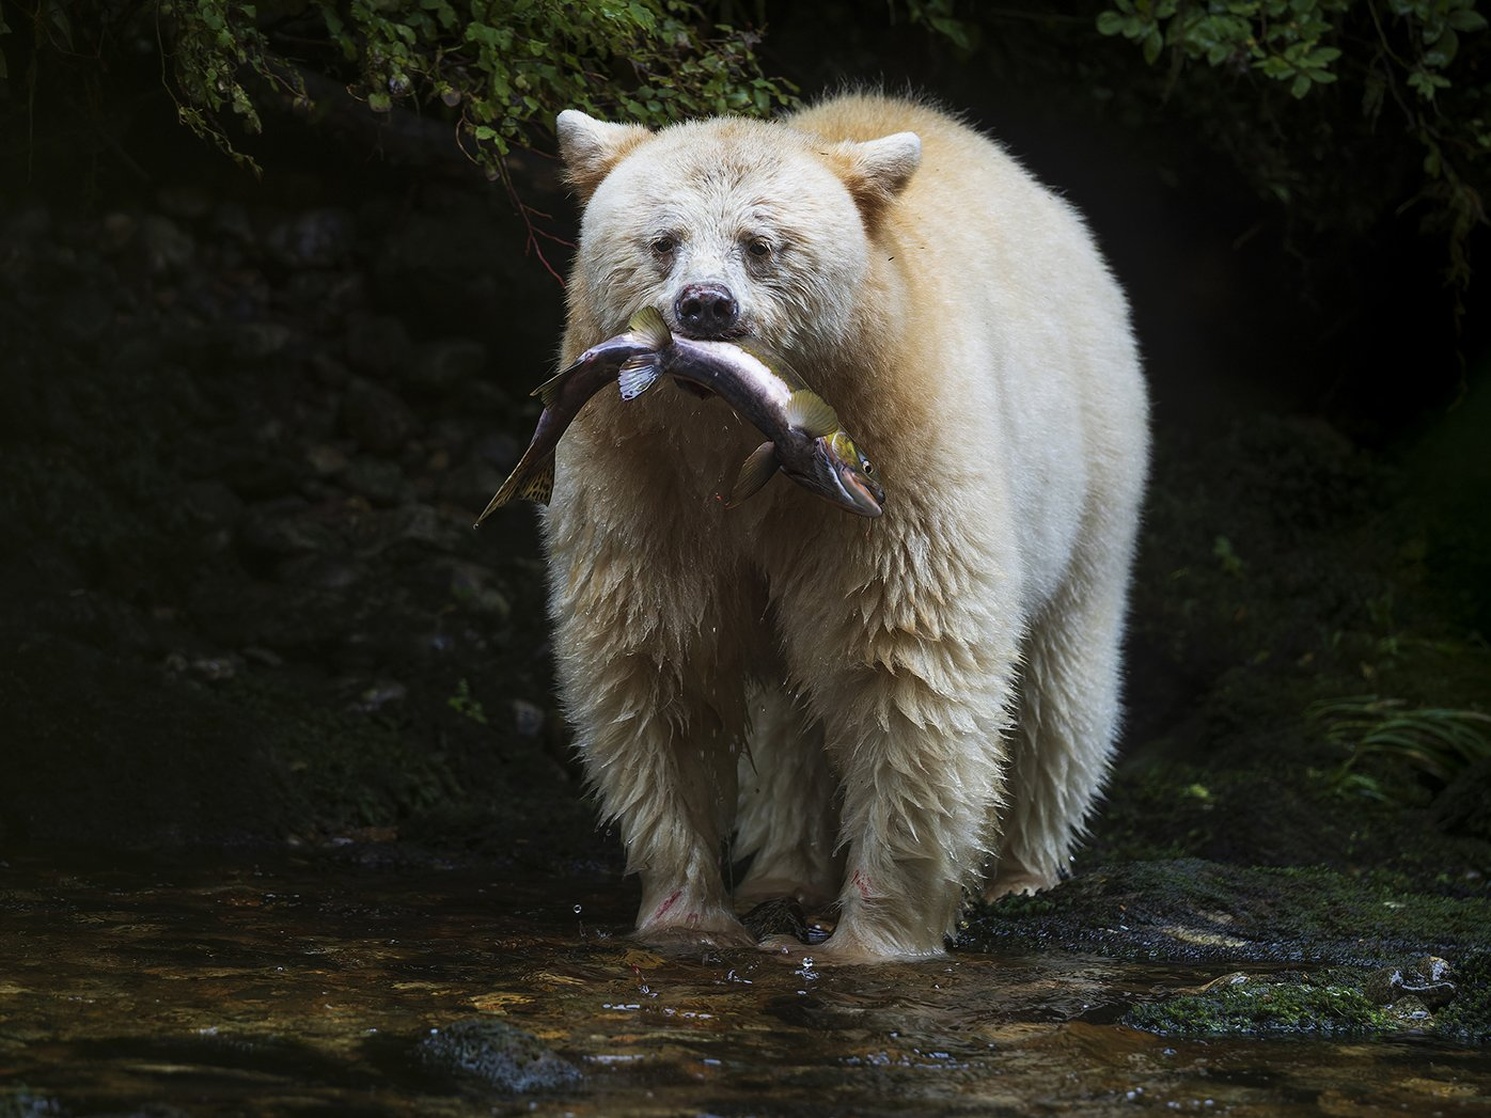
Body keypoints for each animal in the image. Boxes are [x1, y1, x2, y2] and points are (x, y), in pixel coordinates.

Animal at [538, 92, 1149, 962]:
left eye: (761, 245)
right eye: (662, 241)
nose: (704, 305)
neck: (727, 428)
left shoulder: (897, 439)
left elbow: (908, 657)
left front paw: (874, 937)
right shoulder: (637, 469)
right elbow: (658, 659)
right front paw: (688, 915)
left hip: (1093, 462)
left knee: (1060, 688)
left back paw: (1025, 872)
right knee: (791, 721)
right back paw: (782, 873)